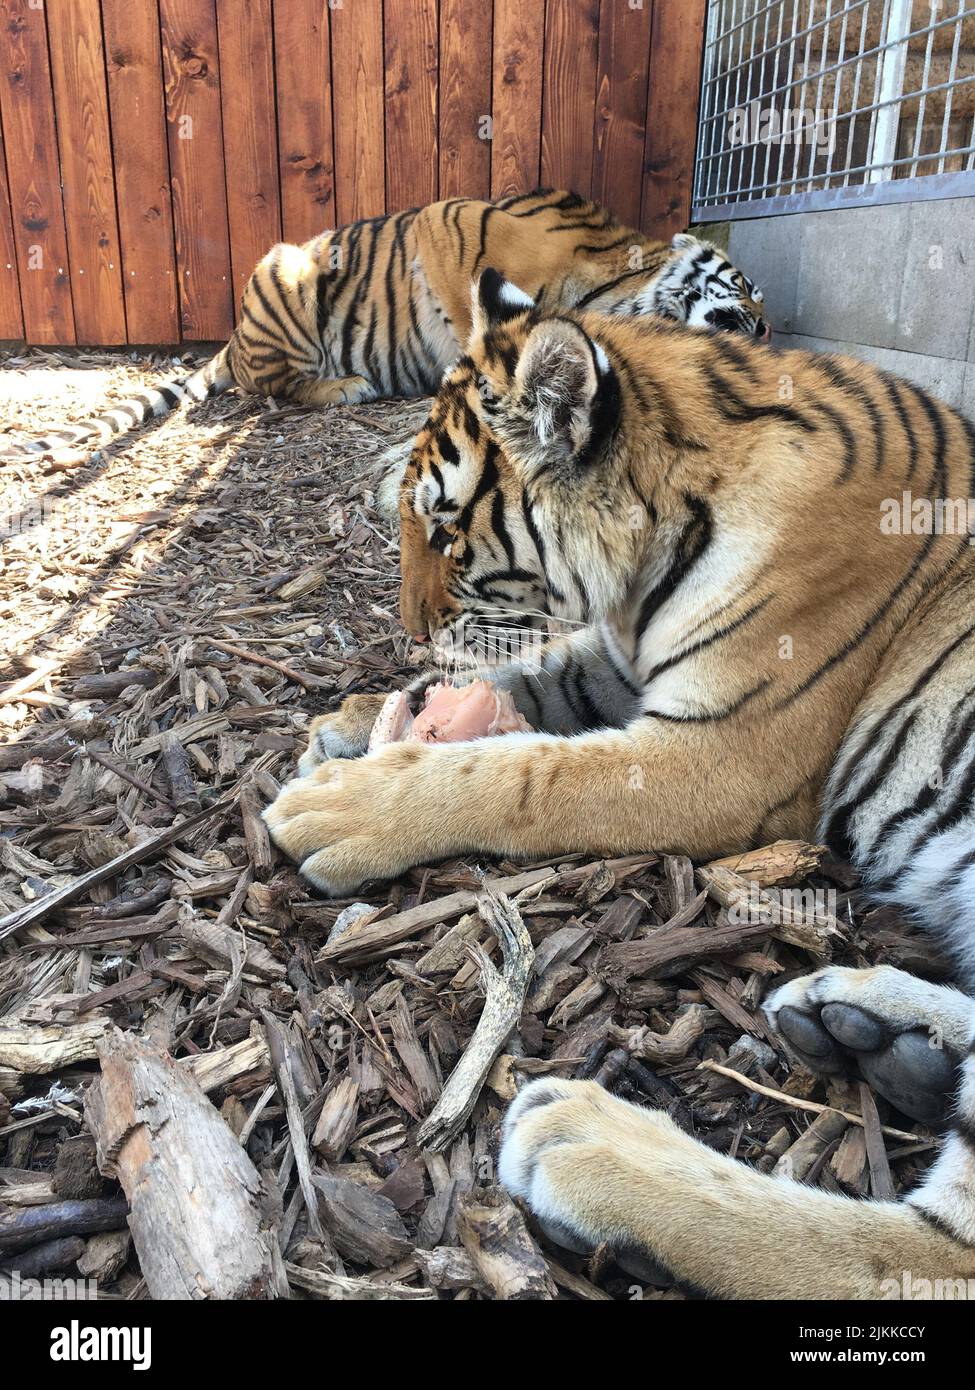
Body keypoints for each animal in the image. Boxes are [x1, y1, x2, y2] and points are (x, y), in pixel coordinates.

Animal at [0, 190, 768, 464]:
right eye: (747, 291)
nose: (765, 330)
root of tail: (233, 336)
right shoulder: (451, 231)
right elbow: (470, 316)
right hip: (283, 274)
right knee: (266, 386)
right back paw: (347, 386)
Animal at [263, 267, 975, 1298]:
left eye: (444, 531)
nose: (405, 629)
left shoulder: (723, 754)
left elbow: (526, 772)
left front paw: (348, 798)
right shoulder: (617, 656)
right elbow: (531, 677)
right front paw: (357, 722)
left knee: (915, 1253)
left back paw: (590, 1144)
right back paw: (872, 1032)